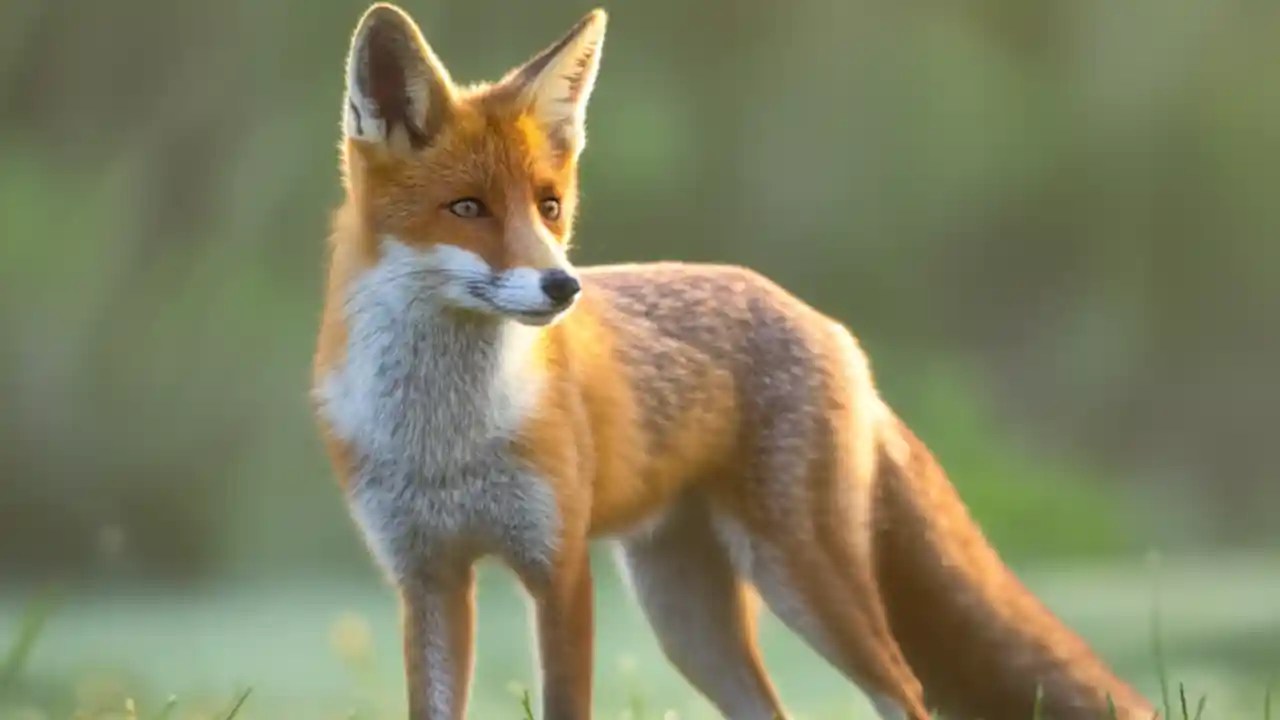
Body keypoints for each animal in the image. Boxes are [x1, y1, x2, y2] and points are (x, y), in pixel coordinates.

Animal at [311, 4, 1157, 720]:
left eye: (548, 208)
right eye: (467, 209)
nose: (564, 285)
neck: (446, 438)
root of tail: (824, 323)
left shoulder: (558, 569)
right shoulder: (427, 578)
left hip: (802, 580)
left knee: (907, 689)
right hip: (688, 621)